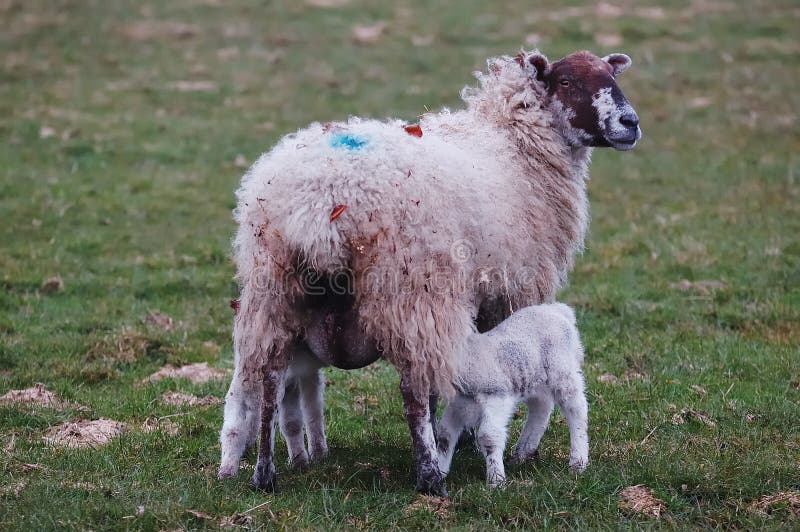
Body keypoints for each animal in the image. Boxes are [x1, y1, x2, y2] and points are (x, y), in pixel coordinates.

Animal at [435, 302, 588, 488]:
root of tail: (557, 309)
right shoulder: (458, 405)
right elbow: (444, 435)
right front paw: (439, 474)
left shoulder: (496, 396)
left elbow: (488, 436)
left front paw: (496, 481)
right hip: (533, 377)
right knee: (541, 406)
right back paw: (522, 452)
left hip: (561, 367)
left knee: (576, 407)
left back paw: (578, 461)